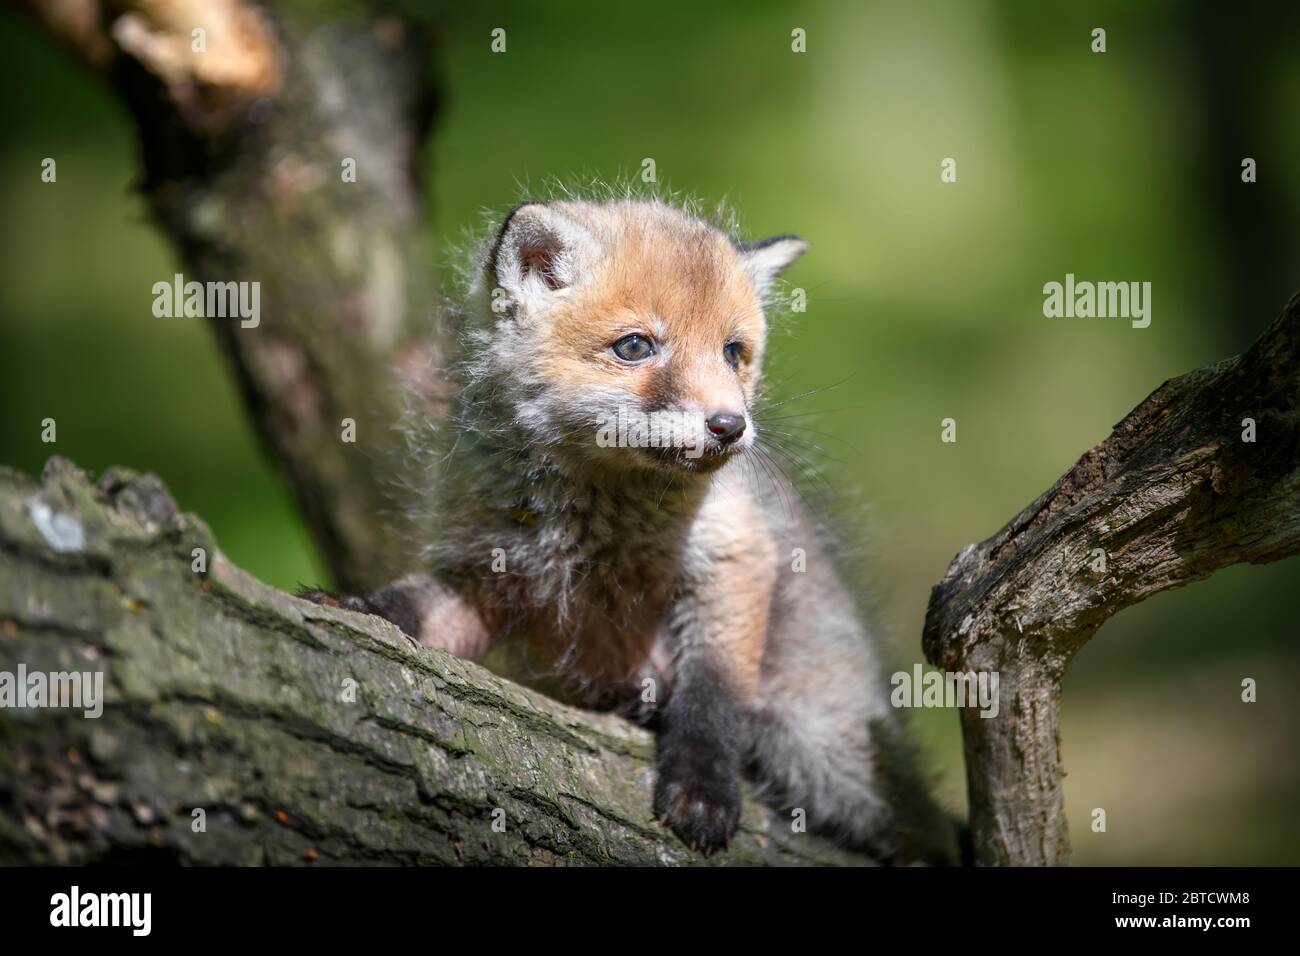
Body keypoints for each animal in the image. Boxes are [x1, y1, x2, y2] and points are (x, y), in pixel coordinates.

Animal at [304, 195, 956, 862]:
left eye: (733, 352)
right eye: (636, 346)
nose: (730, 426)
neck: (593, 517)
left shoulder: (734, 555)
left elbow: (712, 697)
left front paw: (701, 788)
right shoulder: (487, 576)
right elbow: (411, 605)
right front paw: (354, 607)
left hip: (821, 755)